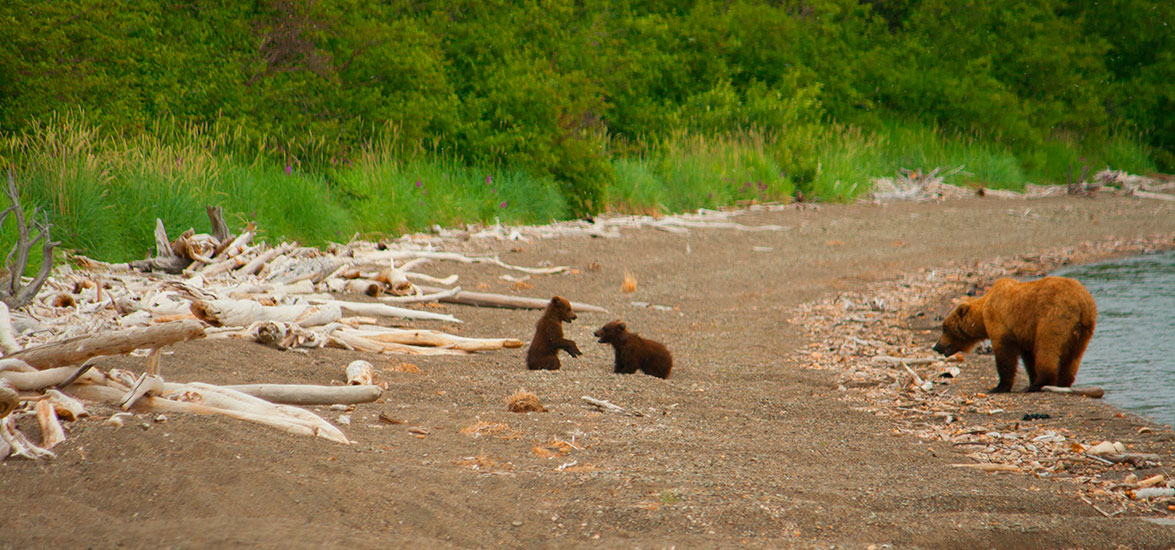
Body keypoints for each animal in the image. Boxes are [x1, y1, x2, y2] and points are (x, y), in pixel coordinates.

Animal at [932, 276, 1097, 393]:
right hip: (1083, 332)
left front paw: (998, 387)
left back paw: (1038, 385)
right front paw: (1030, 377)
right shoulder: (1024, 335)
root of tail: (1083, 303)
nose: (936, 346)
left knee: (1046, 349)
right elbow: (1029, 358)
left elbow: (1006, 356)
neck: (982, 315)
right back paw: (1062, 383)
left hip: (1053, 318)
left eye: (945, 328)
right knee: (1073, 358)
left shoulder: (1001, 324)